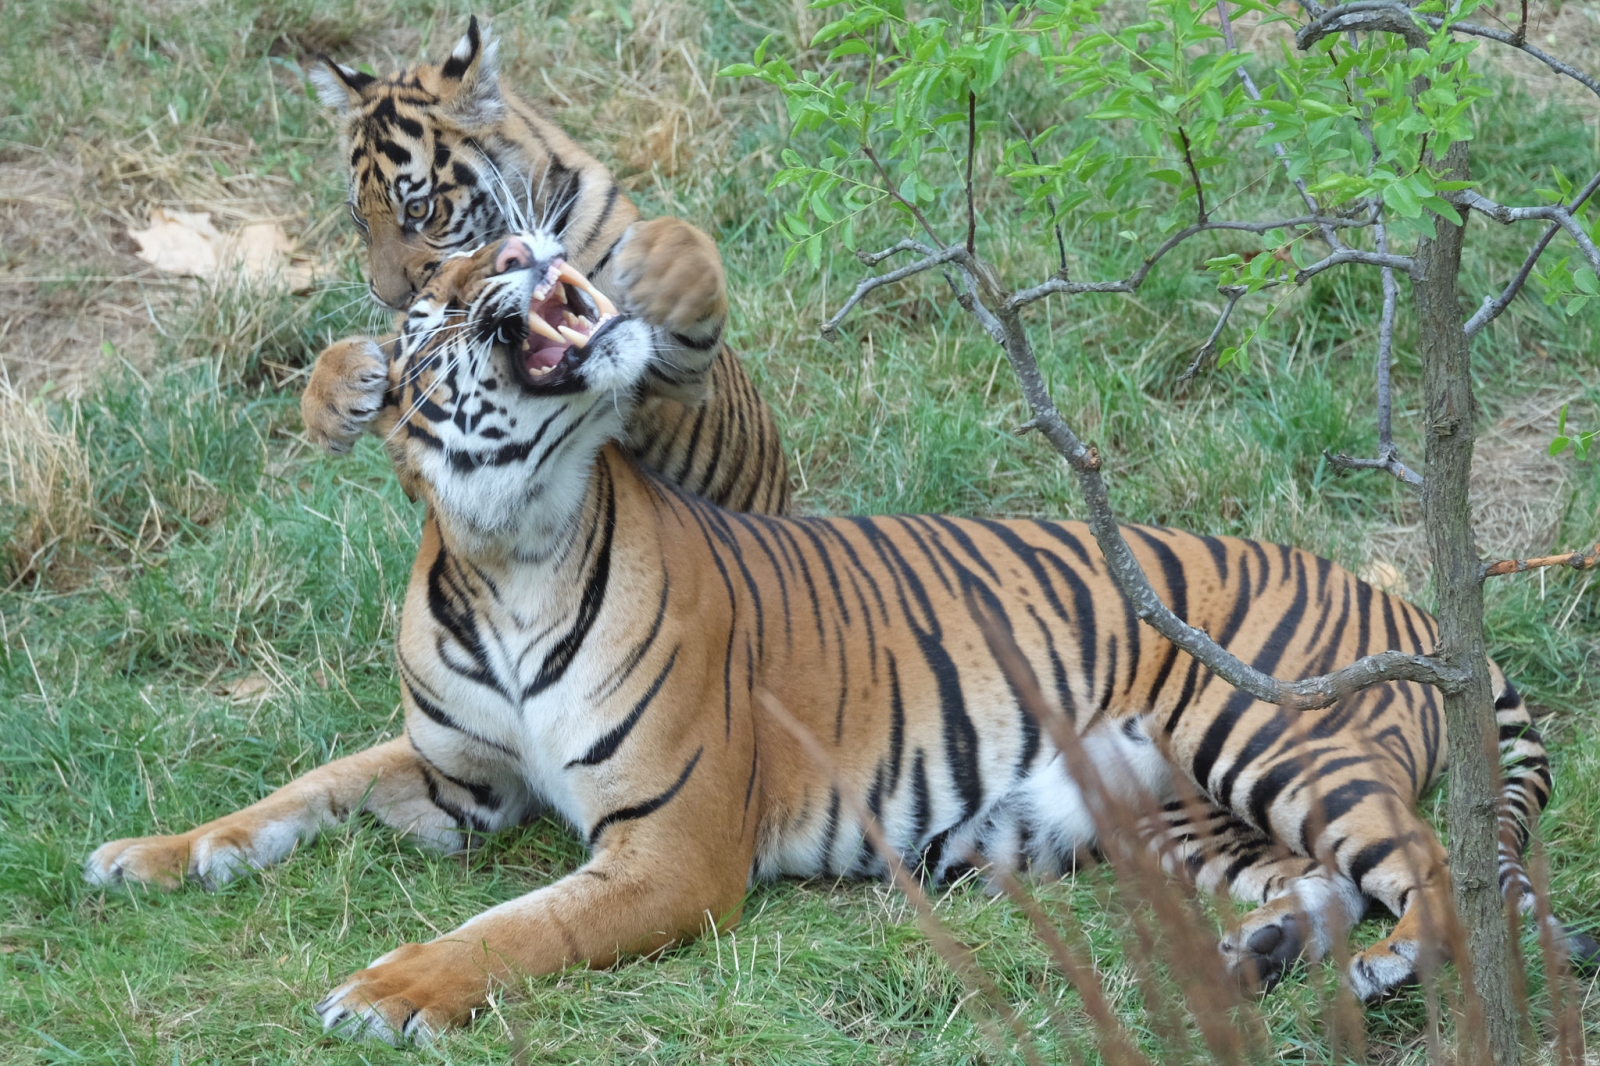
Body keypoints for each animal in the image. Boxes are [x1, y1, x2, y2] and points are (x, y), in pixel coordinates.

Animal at [85, 228, 1586, 1044]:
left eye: (485, 262)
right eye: (438, 305)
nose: (522, 250)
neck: (510, 544)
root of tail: (1417, 603)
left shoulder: (669, 850)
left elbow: (514, 927)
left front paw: (387, 988)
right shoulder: (459, 782)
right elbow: (300, 790)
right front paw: (148, 854)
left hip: (1265, 731)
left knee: (1448, 877)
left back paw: (1380, 969)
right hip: (1182, 817)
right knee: (1329, 882)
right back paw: (1257, 958)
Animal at [304, 16, 789, 514]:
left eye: (419, 209)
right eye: (360, 219)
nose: (390, 299)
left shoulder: (676, 379)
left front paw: (664, 265)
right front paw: (332, 395)